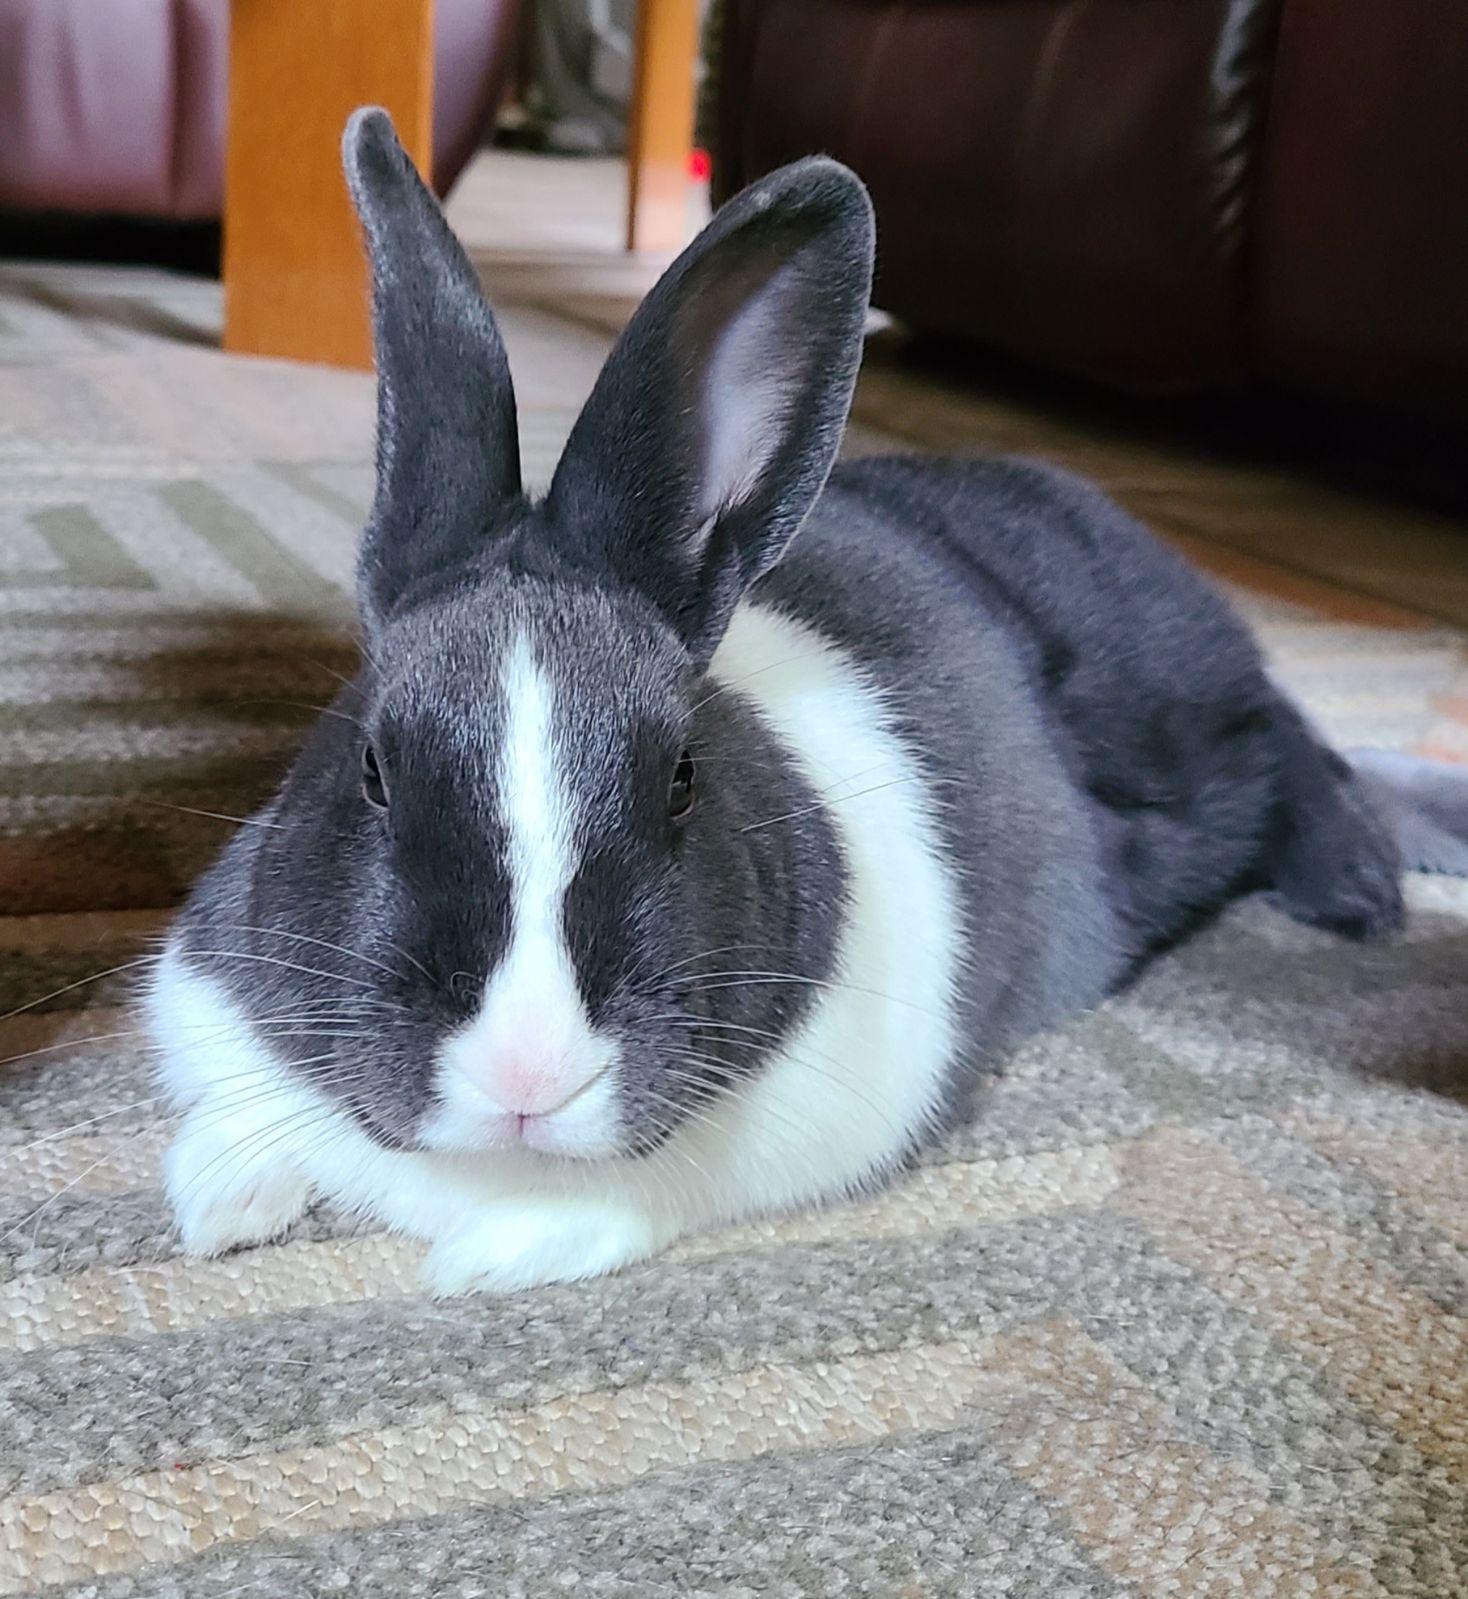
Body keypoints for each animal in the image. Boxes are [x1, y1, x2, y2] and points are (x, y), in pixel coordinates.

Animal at [144, 108, 1465, 1296]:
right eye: (371, 768)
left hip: (1182, 724)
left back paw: (1360, 889)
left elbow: (606, 1210)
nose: (527, 1078)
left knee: (1294, 742)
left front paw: (479, 1262)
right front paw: (221, 1201)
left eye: (682, 779)